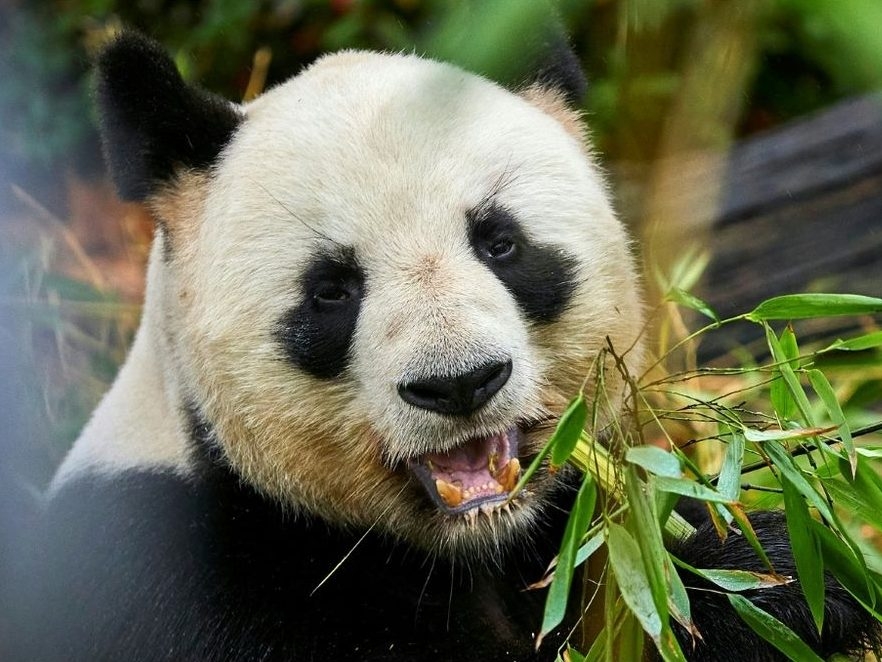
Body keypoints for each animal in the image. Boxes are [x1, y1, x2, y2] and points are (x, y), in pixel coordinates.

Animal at [21, 30, 878, 662]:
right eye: (331, 290)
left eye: (500, 242)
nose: (461, 383)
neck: (470, 546)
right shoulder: (185, 583)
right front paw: (768, 587)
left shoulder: (573, 525)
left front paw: (795, 569)